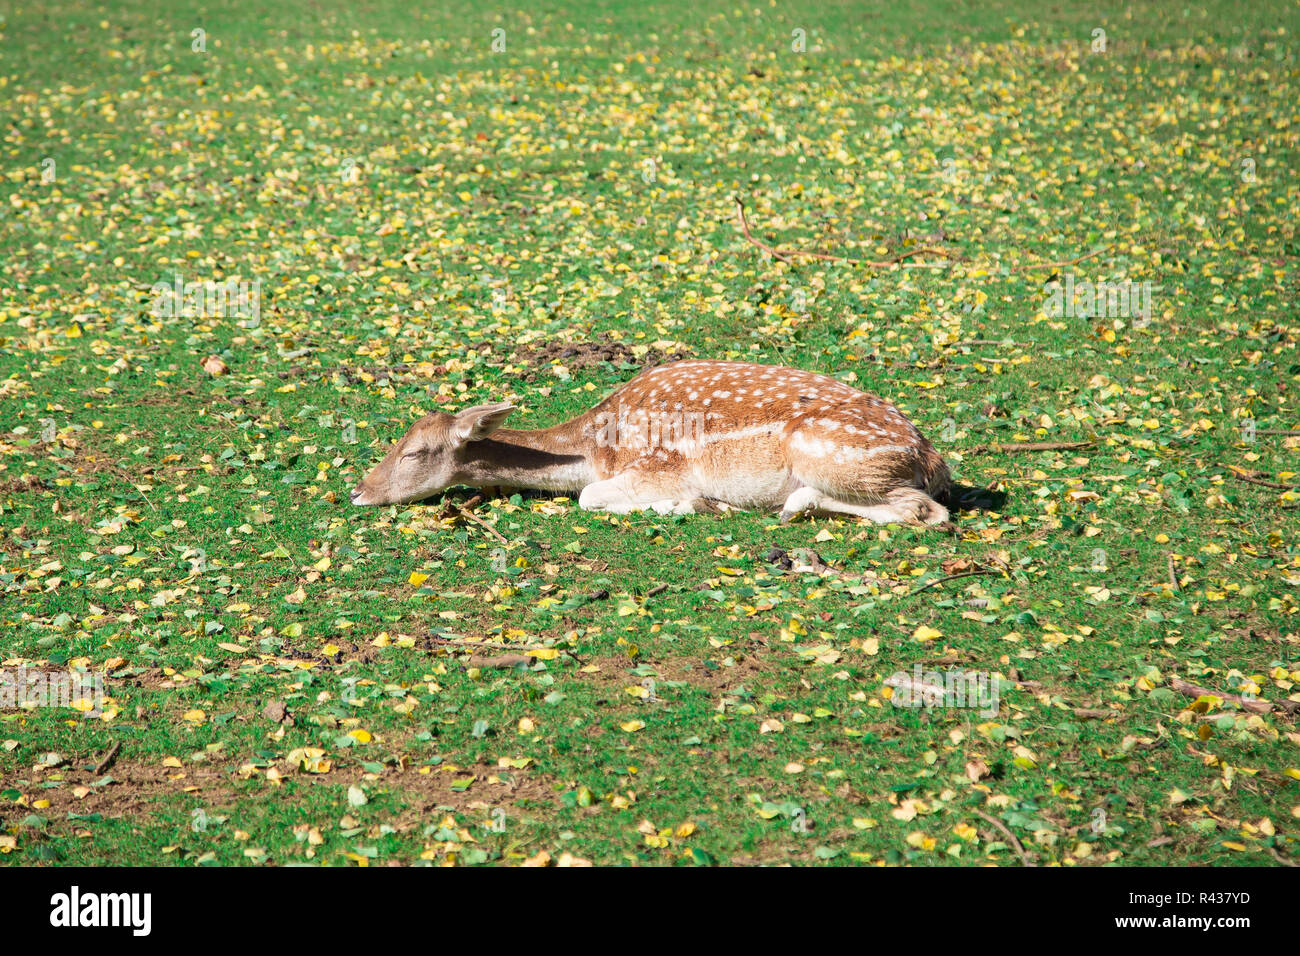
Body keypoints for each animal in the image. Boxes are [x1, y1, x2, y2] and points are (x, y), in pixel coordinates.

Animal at [349, 360, 950, 525]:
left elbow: (589, 497)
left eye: (414, 452)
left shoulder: (657, 463)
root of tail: (933, 459)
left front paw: (687, 502)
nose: (358, 491)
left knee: (927, 513)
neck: (594, 449)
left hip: (836, 456)